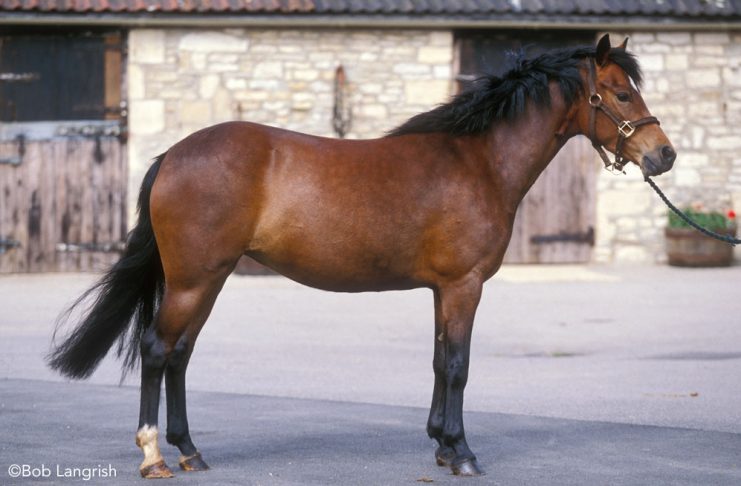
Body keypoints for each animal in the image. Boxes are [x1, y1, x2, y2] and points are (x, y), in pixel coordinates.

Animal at [48, 34, 676, 479]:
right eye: (621, 93)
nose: (664, 155)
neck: (477, 162)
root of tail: (173, 155)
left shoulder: (443, 290)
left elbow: (438, 361)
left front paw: (442, 445)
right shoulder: (464, 285)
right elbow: (458, 365)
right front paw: (463, 454)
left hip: (209, 279)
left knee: (179, 355)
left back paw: (190, 452)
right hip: (191, 280)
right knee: (157, 350)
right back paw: (153, 456)